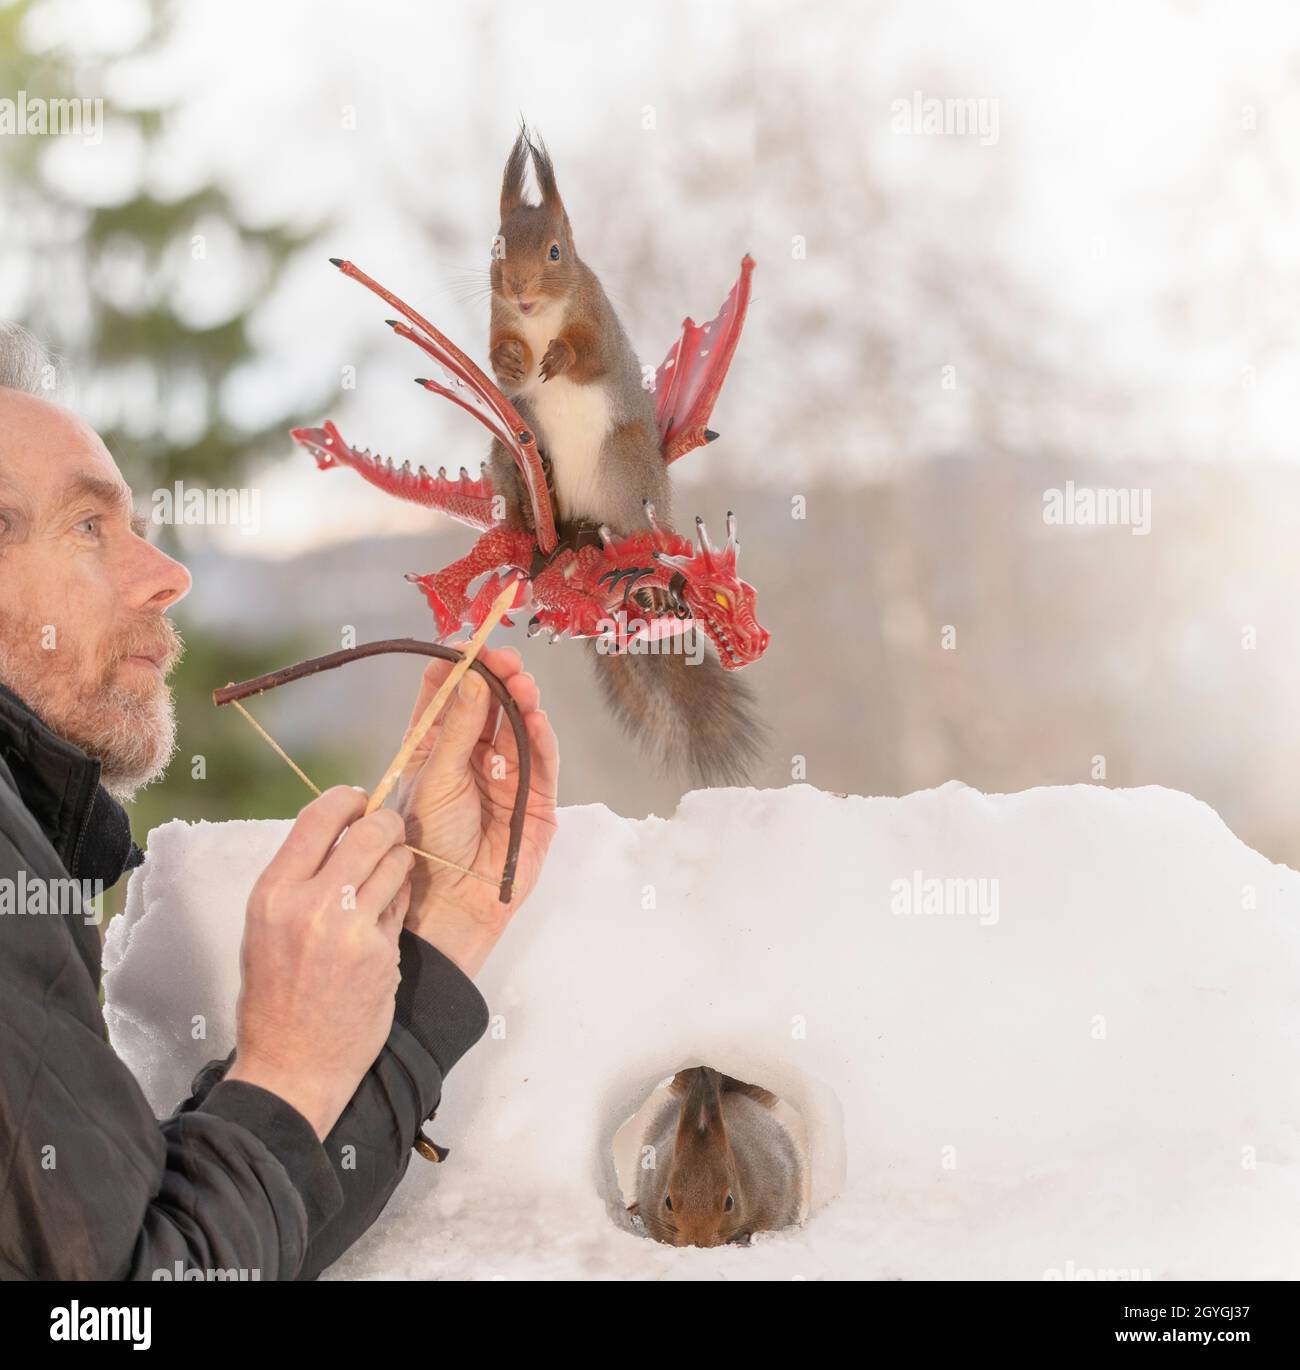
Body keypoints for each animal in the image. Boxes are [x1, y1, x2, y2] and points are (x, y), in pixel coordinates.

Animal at [485, 125, 767, 787]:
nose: (520, 291)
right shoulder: (496, 320)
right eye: (497, 246)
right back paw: (539, 531)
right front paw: (510, 360)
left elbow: (592, 356)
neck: (537, 320)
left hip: (627, 471)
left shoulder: (599, 322)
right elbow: (496, 358)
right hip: (513, 459)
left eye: (557, 252)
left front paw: (559, 358)